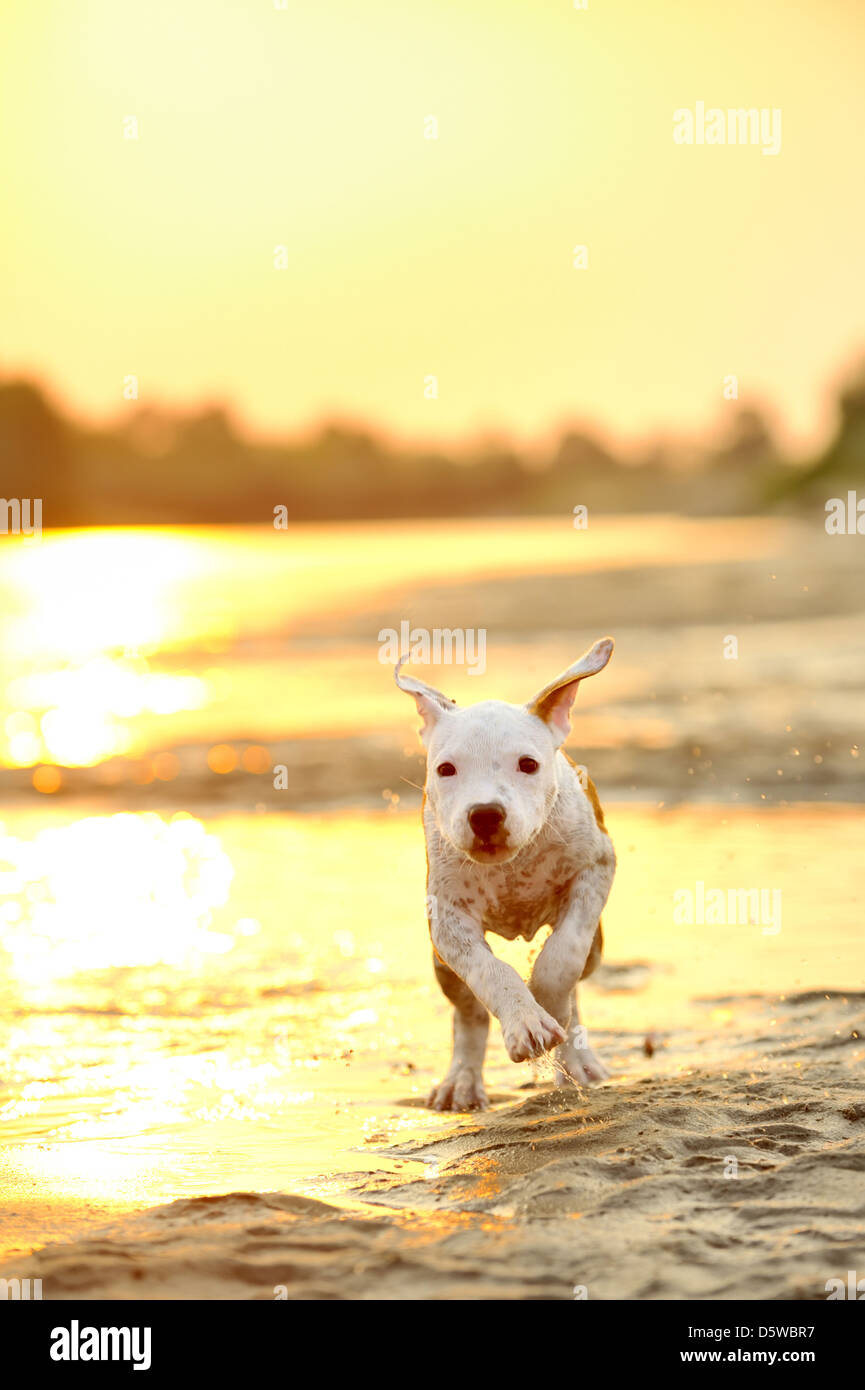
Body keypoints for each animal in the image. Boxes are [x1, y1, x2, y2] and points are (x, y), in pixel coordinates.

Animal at [397, 636, 620, 1106]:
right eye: (446, 769)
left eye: (528, 764)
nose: (484, 814)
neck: (514, 864)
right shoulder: (447, 920)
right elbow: (490, 972)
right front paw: (527, 1021)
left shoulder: (595, 868)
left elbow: (563, 955)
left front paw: (548, 1006)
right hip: (441, 967)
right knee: (468, 1015)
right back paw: (461, 1082)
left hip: (597, 947)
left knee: (577, 980)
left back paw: (578, 1060)